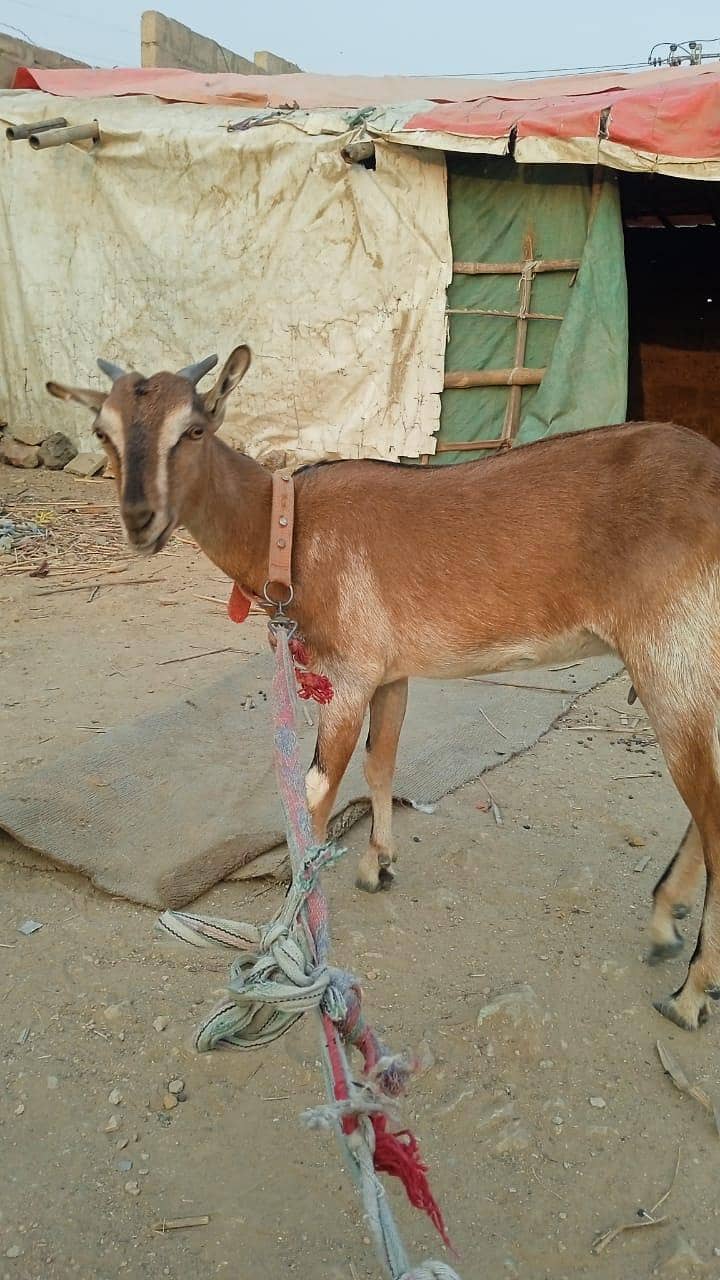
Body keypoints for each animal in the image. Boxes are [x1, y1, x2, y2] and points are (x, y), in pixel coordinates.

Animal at [48, 346, 720, 1033]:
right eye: (103, 432)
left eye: (195, 428)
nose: (140, 520)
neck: (287, 525)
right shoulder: (390, 672)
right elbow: (381, 764)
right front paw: (378, 866)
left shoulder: (348, 675)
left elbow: (314, 794)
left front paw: (294, 936)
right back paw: (665, 923)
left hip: (674, 660)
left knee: (713, 813)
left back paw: (690, 994)